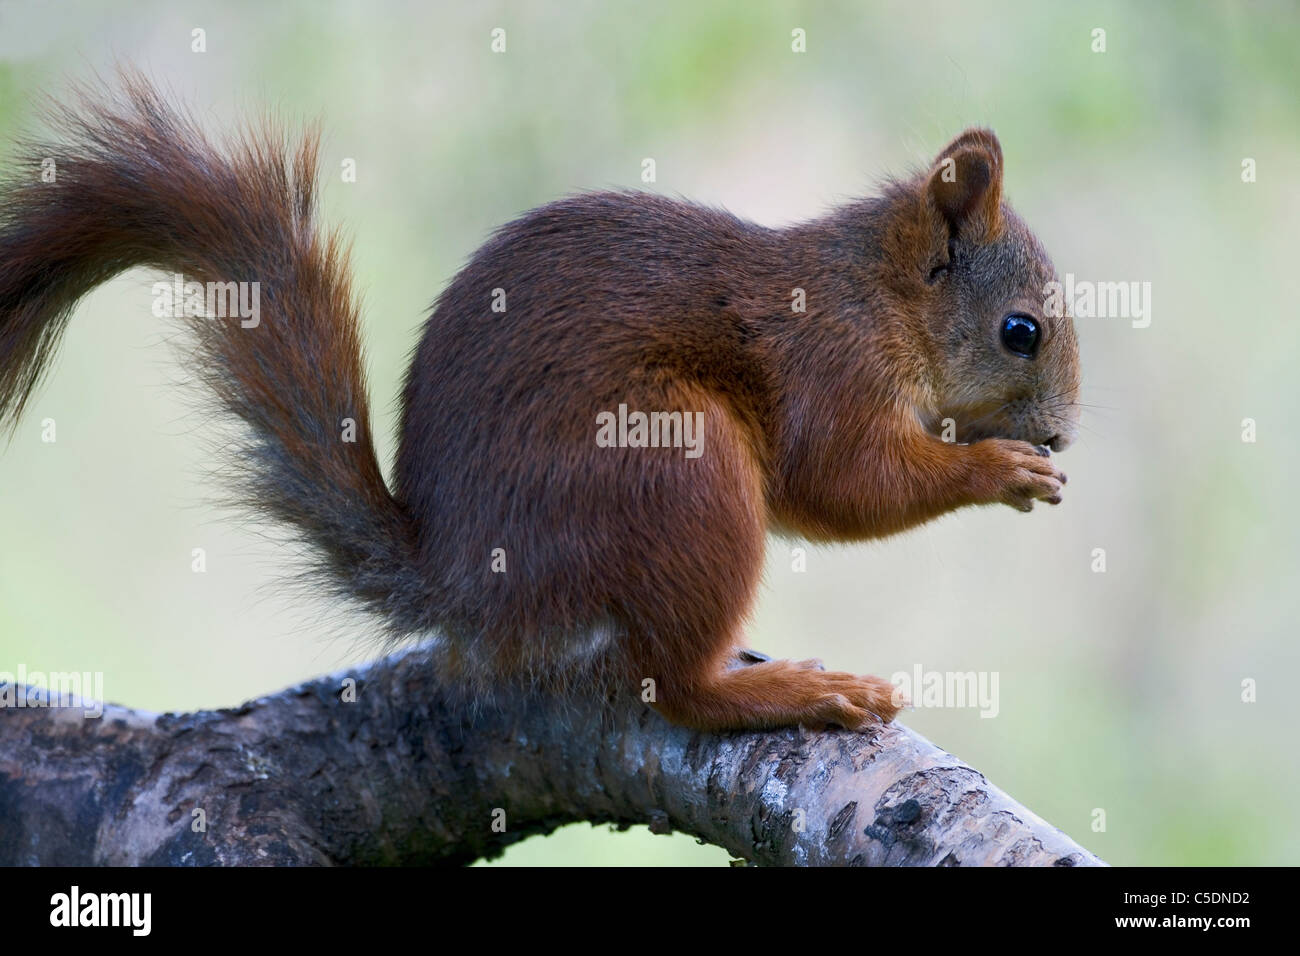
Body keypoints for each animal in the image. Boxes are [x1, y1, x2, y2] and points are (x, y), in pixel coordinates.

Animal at [0, 76, 1079, 733]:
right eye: (1019, 330)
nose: (1064, 435)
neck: (879, 297)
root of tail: (466, 581)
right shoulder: (832, 368)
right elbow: (845, 483)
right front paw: (997, 470)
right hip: (673, 468)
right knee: (674, 688)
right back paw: (783, 689)